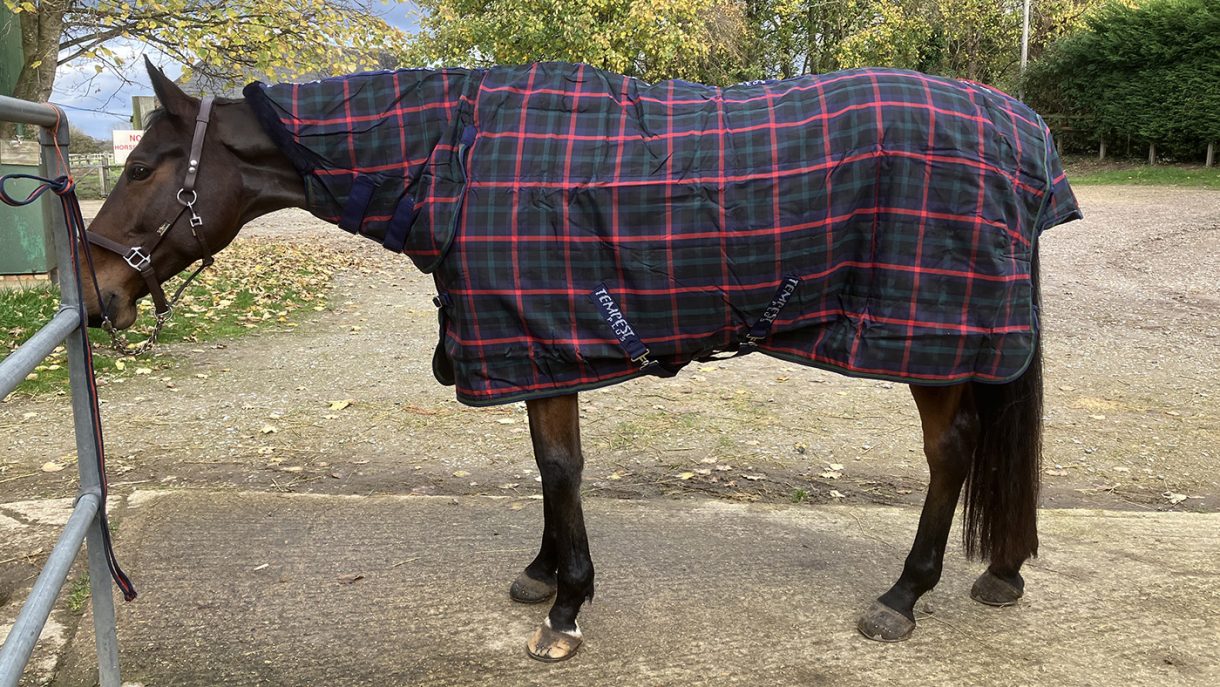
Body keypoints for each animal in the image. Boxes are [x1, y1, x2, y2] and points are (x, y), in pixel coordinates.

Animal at [79, 57, 1081, 662]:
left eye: (140, 169)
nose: (95, 297)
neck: (457, 159)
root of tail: (1021, 127)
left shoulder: (539, 340)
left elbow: (559, 464)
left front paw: (567, 609)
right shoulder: (536, 347)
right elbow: (546, 466)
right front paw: (542, 574)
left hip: (929, 343)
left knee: (950, 451)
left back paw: (903, 595)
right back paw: (1001, 571)